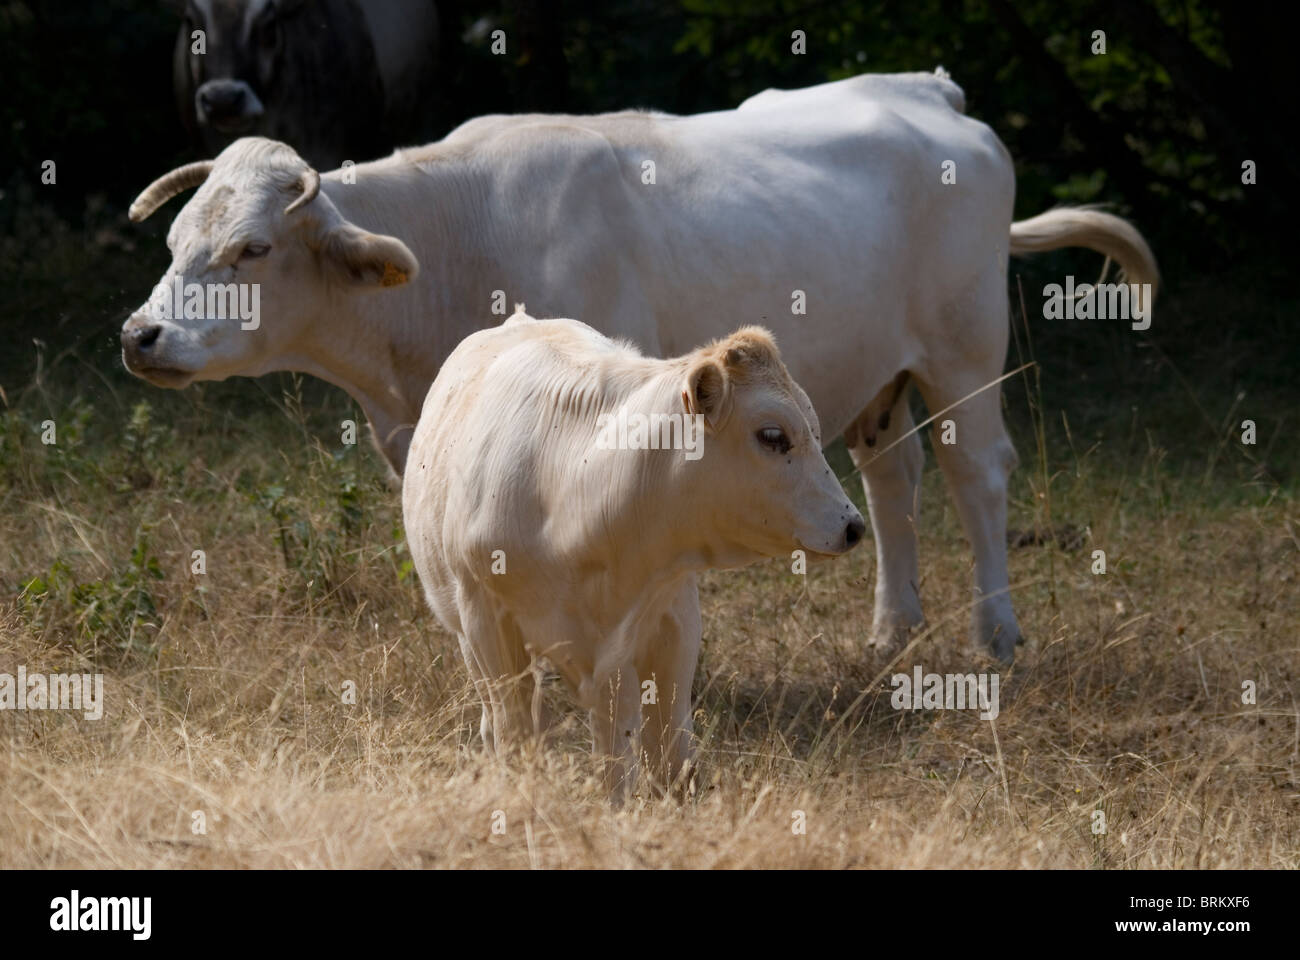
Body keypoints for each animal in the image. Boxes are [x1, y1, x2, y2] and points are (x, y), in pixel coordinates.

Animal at [122, 71, 1159, 663]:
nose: (141, 335)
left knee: (975, 477)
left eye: (252, 248)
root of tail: (928, 92)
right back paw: (889, 632)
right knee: (892, 478)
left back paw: (996, 638)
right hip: (876, 376)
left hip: (963, 351)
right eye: (175, 241)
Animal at [402, 308, 865, 796]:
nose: (853, 525)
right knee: (497, 720)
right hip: (465, 629)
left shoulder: (670, 621)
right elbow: (516, 731)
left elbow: (659, 749)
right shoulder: (486, 619)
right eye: (773, 435)